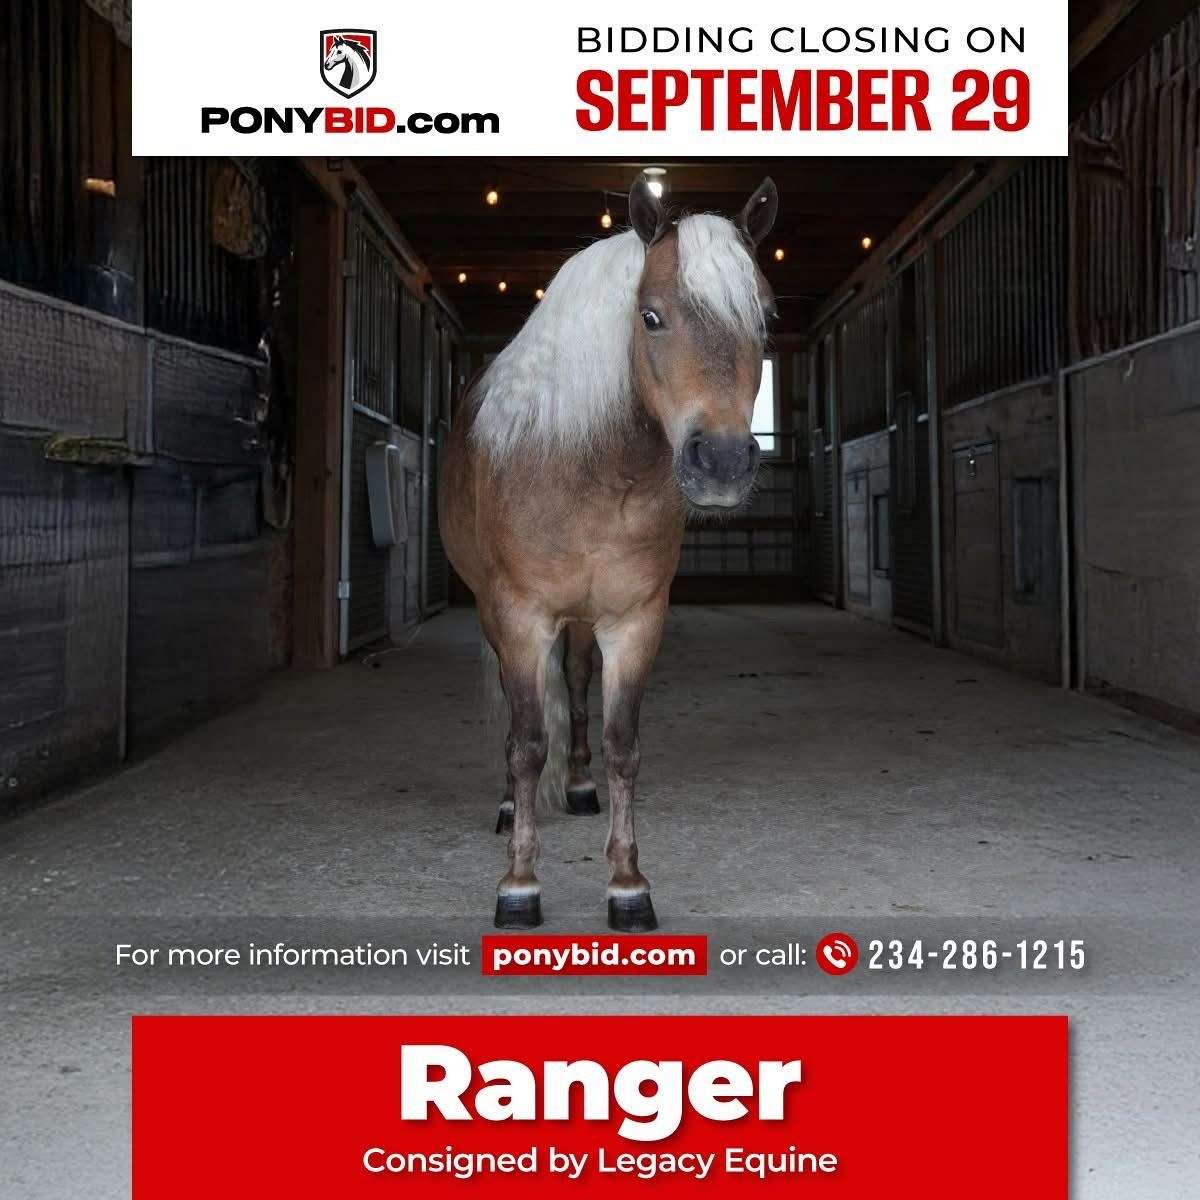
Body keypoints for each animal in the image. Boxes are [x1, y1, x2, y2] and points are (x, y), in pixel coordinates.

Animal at [439, 175, 778, 931]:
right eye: (650, 317)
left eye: (766, 320)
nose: (722, 462)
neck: (590, 471)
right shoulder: (519, 617)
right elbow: (526, 742)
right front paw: (519, 886)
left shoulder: (635, 619)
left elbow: (624, 745)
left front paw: (627, 884)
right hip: (497, 616)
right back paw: (510, 805)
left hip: (584, 622)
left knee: (575, 684)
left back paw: (578, 786)